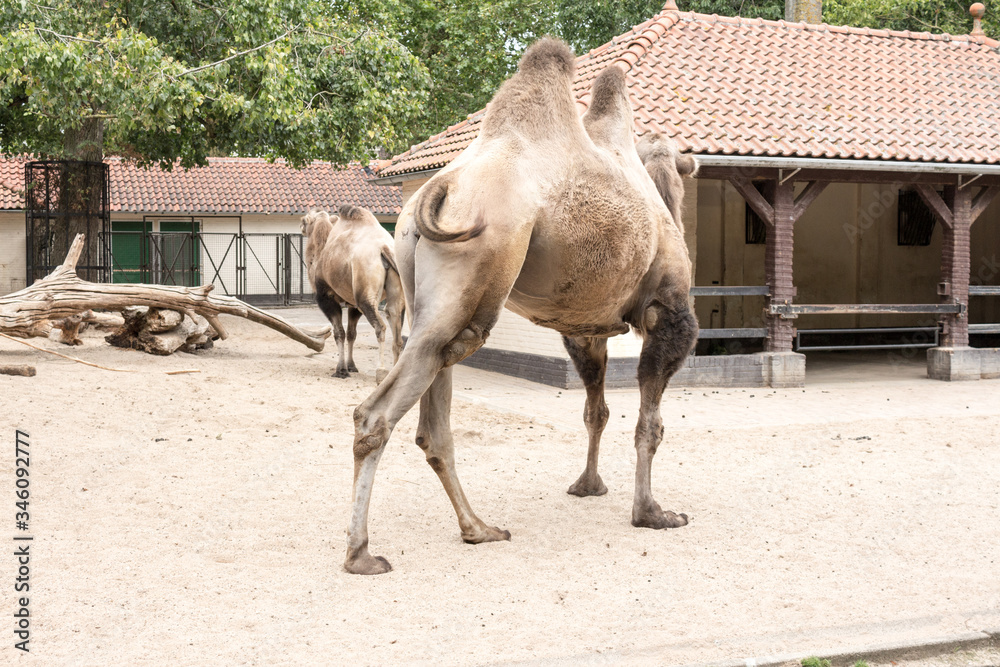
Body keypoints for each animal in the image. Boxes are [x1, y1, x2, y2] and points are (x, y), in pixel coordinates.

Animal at [300, 206, 404, 381]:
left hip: (365, 291)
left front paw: (341, 370)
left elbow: (339, 333)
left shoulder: (327, 297)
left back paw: (381, 371)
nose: (300, 224)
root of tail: (385, 248)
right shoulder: (353, 305)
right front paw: (351, 366)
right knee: (395, 323)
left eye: (306, 219)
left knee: (380, 326)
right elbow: (351, 334)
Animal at [344, 38, 699, 575]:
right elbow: (650, 424)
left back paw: (478, 528)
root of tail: (437, 189)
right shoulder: (669, 314)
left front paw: (588, 486)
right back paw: (361, 553)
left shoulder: (585, 329)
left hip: (423, 282)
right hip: (481, 268)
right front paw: (652, 513)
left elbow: (596, 410)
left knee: (433, 421)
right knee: (381, 409)